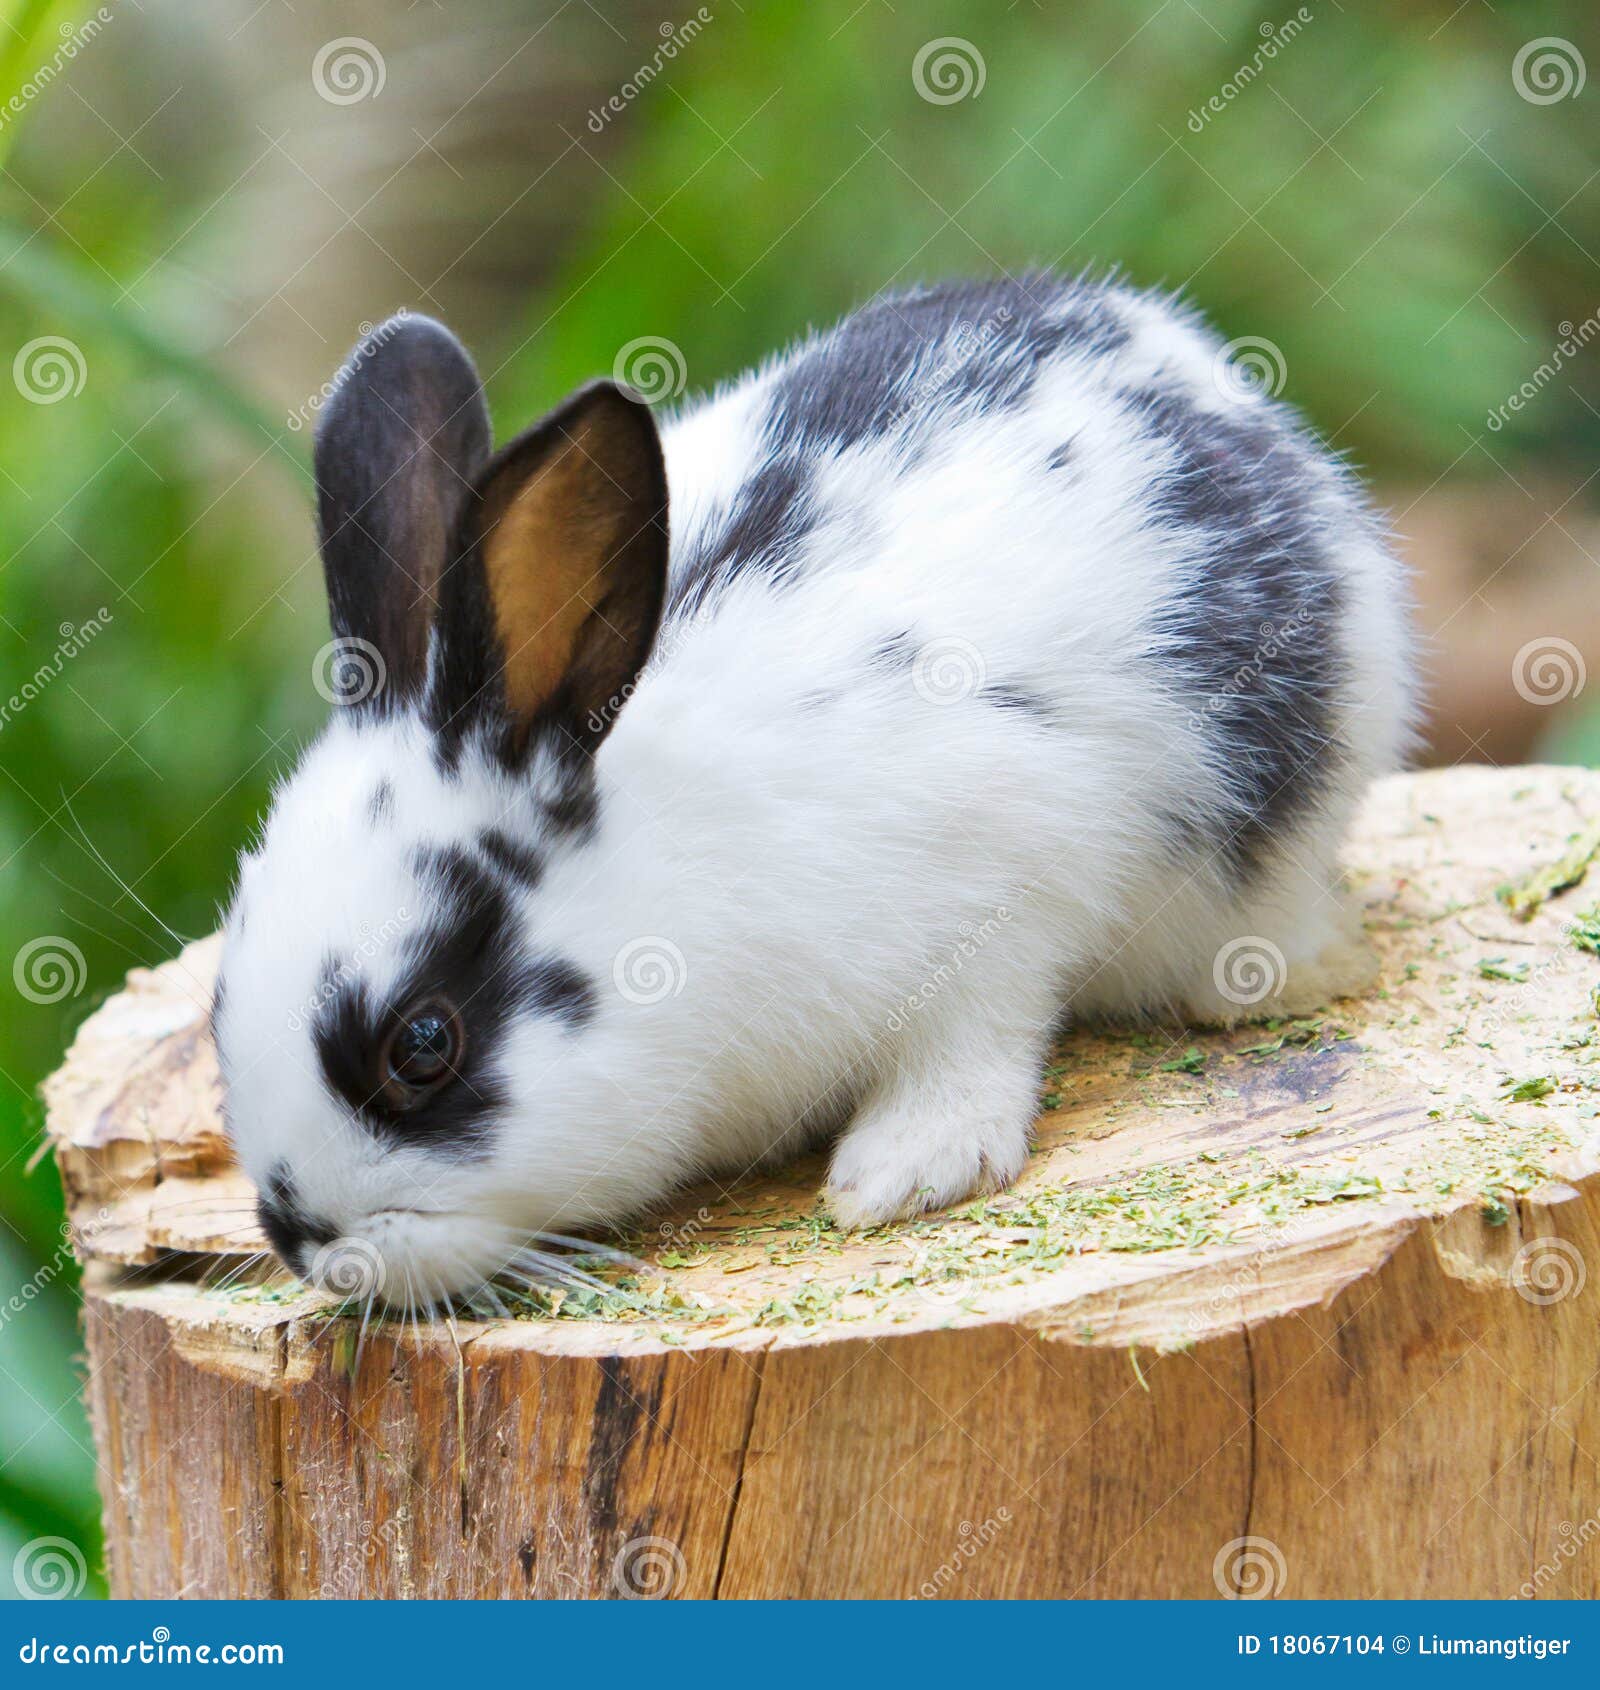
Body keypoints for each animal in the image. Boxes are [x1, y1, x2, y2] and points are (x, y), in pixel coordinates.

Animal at [212, 272, 1415, 1309]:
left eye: (423, 1045)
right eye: (219, 1001)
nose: (305, 1243)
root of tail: (1192, 358)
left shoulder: (1005, 891)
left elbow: (976, 1032)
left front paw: (904, 1174)